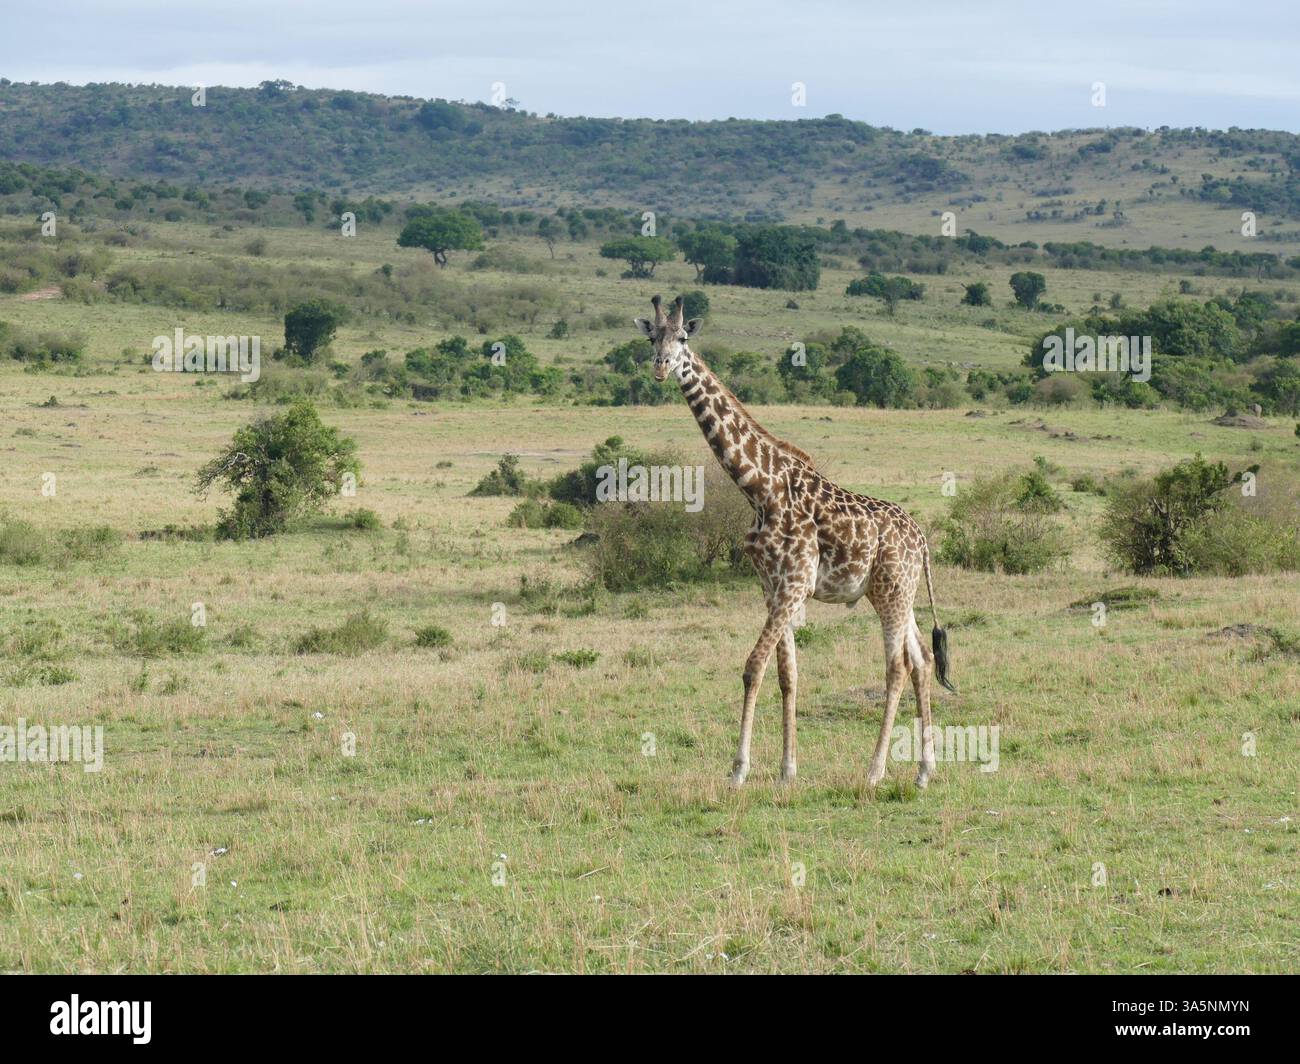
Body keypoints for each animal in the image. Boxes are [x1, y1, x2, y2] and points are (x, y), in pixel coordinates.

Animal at [634, 295, 955, 789]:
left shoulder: (795, 584)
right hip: (897, 592)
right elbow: (787, 673)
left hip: (892, 592)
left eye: (683, 338)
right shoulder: (772, 586)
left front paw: (739, 769)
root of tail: (921, 539)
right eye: (652, 337)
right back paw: (924, 770)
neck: (759, 487)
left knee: (898, 665)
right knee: (920, 660)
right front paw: (787, 769)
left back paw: (875, 770)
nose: (661, 366)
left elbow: (753, 668)